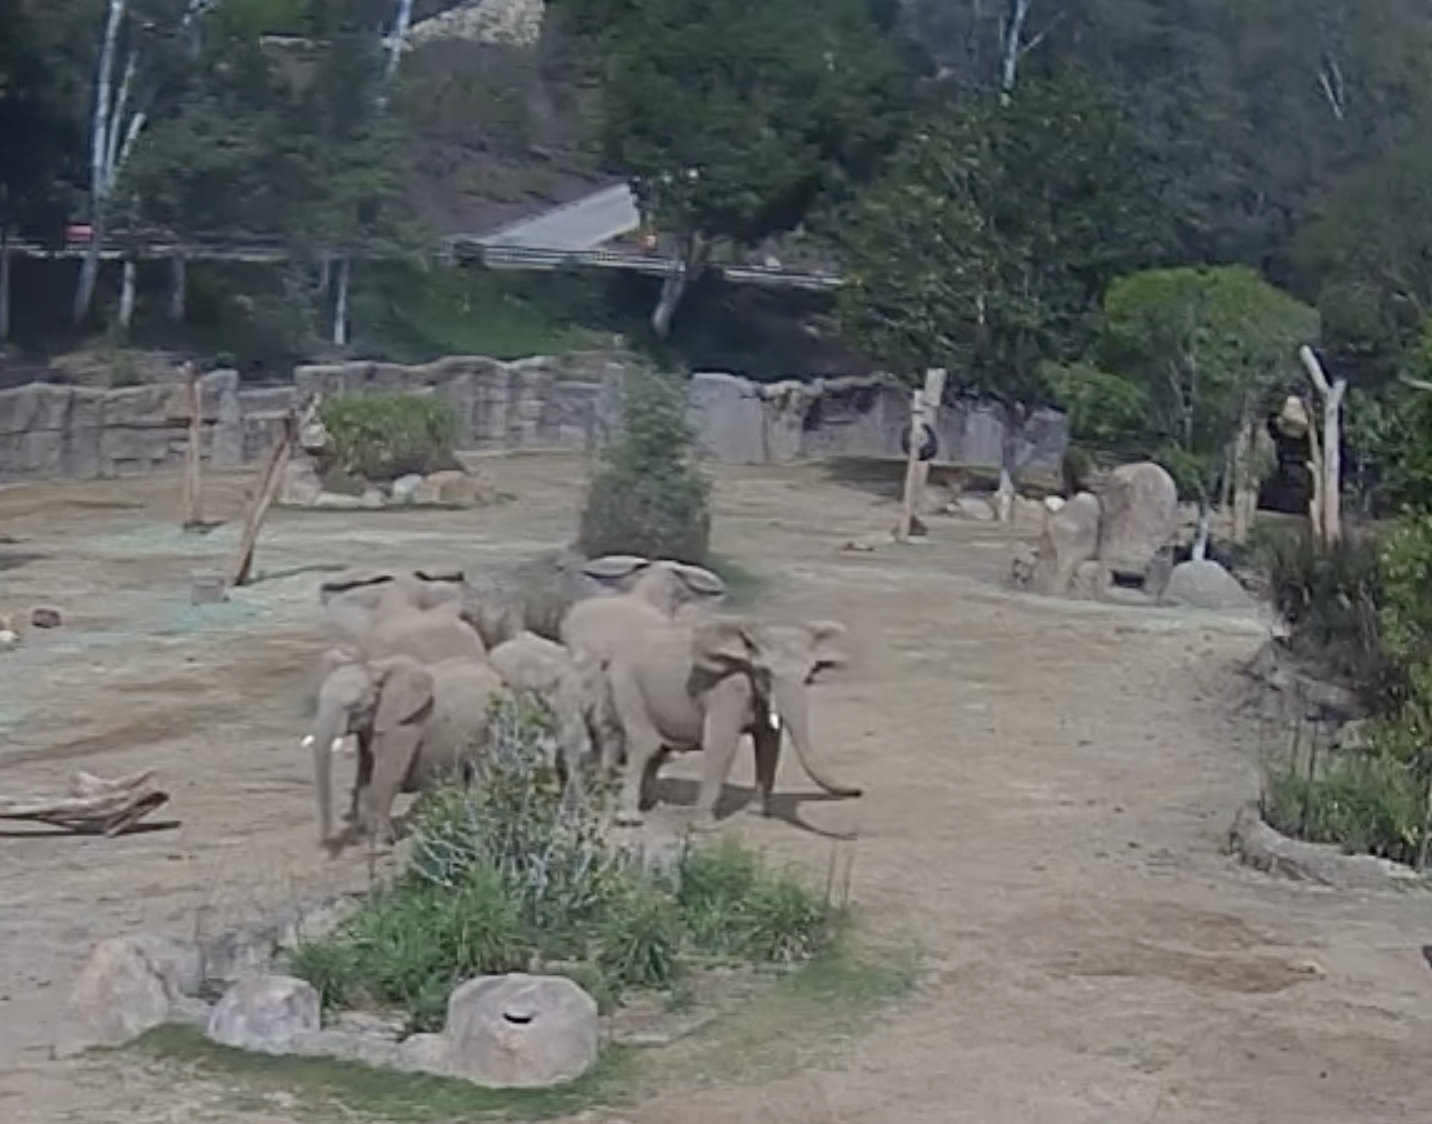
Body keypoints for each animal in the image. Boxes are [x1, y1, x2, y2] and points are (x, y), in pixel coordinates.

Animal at [309, 653, 511, 852]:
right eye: (318, 701)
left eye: (355, 705)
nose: (324, 842)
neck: (375, 668)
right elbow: (364, 773)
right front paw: (361, 836)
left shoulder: (405, 724)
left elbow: (388, 775)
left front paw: (380, 845)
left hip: (493, 725)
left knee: (483, 770)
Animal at [565, 600, 860, 827]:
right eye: (765, 672)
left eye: (810, 675)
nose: (859, 791)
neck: (752, 633)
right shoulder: (726, 689)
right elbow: (722, 744)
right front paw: (702, 827)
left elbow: (768, 742)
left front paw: (756, 815)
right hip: (626, 684)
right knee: (644, 743)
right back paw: (629, 819)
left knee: (641, 744)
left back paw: (640, 801)